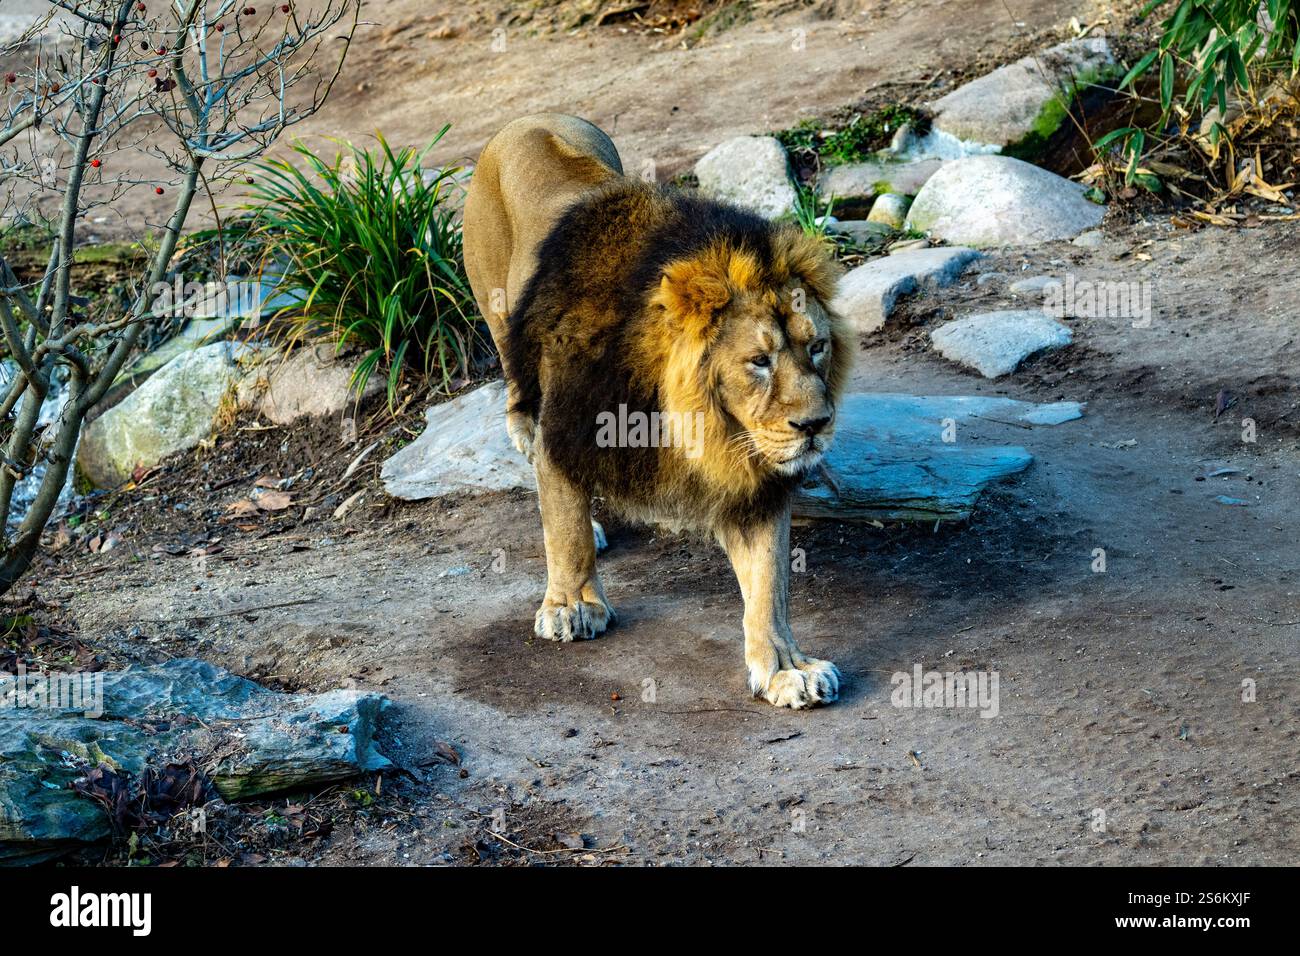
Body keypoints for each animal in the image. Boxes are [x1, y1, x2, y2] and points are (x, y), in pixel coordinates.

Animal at [463, 114, 849, 709]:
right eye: (759, 361)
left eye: (818, 348)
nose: (814, 426)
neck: (689, 419)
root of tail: (526, 121)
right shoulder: (564, 427)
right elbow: (565, 527)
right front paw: (571, 606)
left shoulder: (753, 480)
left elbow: (769, 583)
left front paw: (787, 668)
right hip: (505, 329)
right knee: (528, 441)